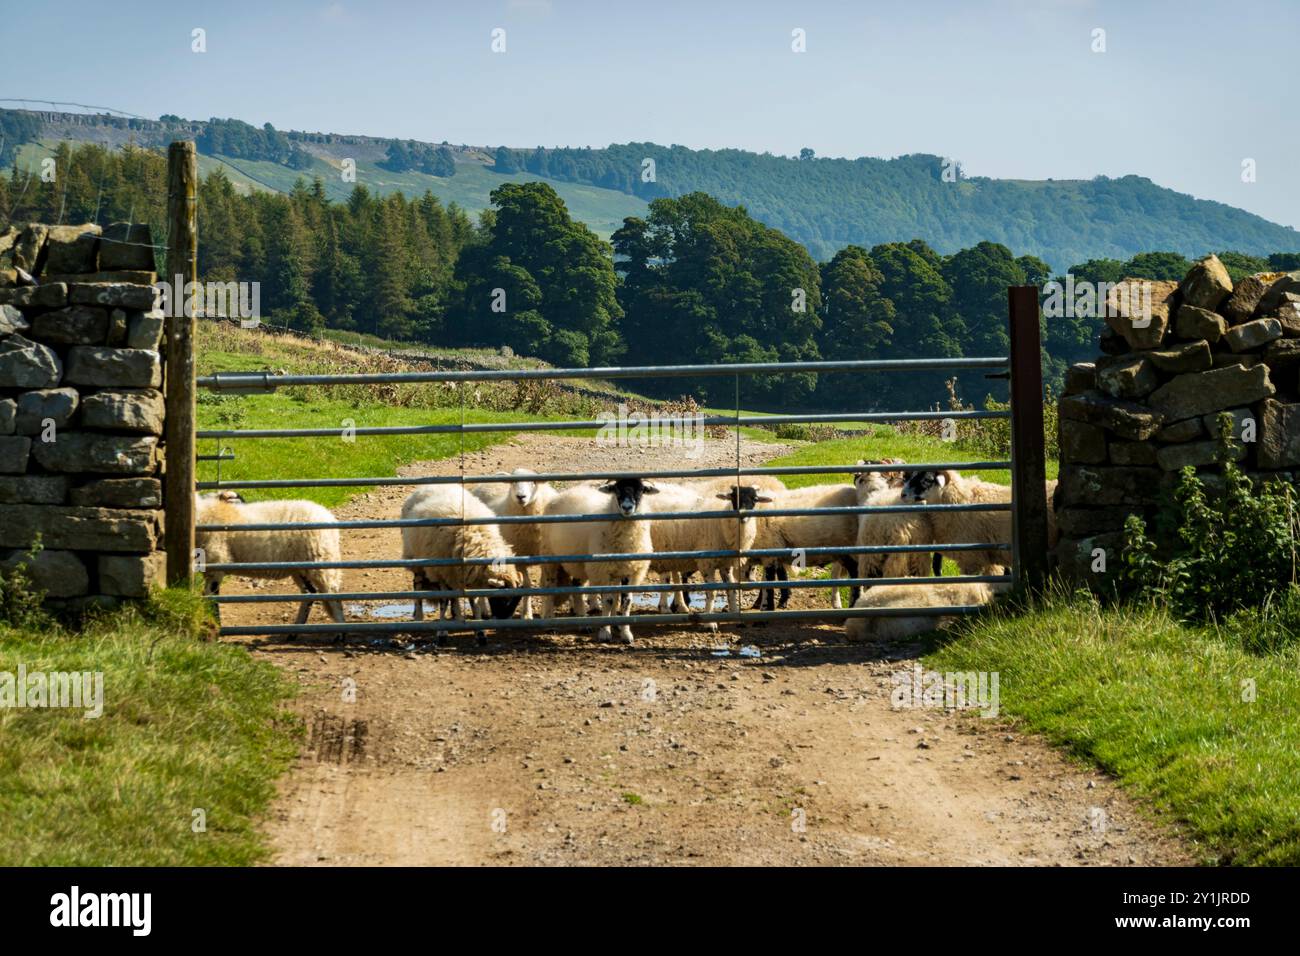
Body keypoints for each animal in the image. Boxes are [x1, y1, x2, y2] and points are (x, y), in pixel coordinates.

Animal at [194, 491, 345, 627]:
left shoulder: (216, 565)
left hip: (320, 561)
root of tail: (329, 516)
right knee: (309, 593)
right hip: (300, 568)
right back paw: (295, 631)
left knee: (333, 596)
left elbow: (211, 599)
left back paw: (340, 632)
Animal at [400, 485, 524, 633]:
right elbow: (444, 601)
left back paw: (456, 615)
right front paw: (442, 629)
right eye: (502, 598)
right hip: (415, 558)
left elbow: (470, 600)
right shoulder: (441, 571)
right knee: (417, 585)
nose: (502, 620)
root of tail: (425, 487)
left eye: (516, 600)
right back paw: (419, 616)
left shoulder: (464, 572)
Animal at [537, 477, 659, 644]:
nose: (627, 507)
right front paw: (605, 632)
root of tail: (564, 493)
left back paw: (583, 624)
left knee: (576, 587)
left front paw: (624, 632)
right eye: (616, 489)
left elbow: (625, 601)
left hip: (579, 563)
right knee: (550, 587)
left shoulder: (629, 570)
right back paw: (550, 623)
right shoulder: (602, 570)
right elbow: (608, 601)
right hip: (549, 556)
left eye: (640, 490)